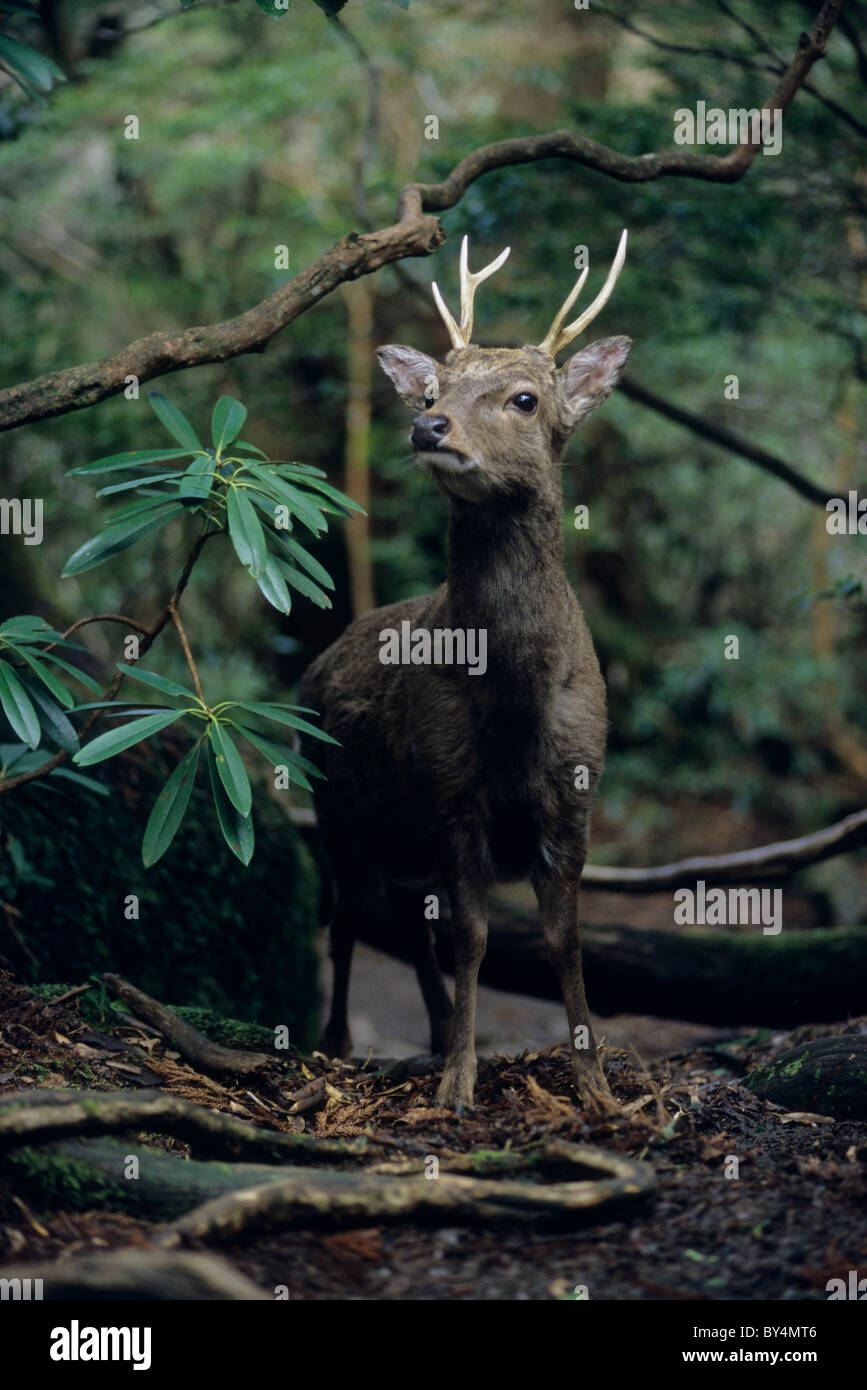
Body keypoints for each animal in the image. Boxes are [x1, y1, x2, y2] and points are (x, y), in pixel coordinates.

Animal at [299, 230, 631, 1111]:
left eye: (523, 399)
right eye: (432, 387)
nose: (429, 424)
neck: (513, 700)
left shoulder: (575, 793)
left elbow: (565, 939)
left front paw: (595, 1085)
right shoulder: (450, 792)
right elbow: (476, 937)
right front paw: (458, 1083)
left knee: (407, 924)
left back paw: (436, 1026)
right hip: (329, 805)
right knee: (349, 918)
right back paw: (338, 1043)